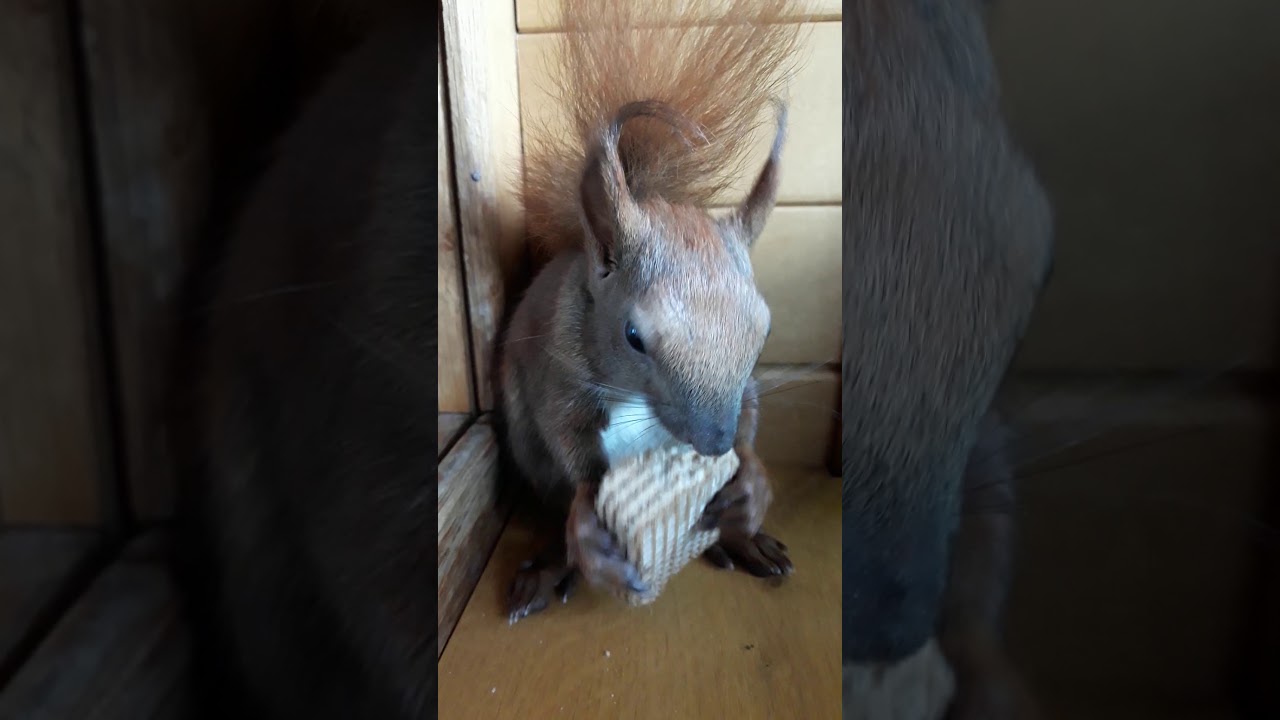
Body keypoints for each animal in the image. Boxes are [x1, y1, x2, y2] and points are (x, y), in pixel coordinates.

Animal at [496, 0, 810, 620]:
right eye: (633, 336)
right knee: (552, 499)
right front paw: (590, 536)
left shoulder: (747, 394)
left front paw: (750, 488)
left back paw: (740, 541)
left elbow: (751, 425)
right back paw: (552, 563)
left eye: (764, 334)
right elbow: (573, 454)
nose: (713, 442)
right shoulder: (558, 379)